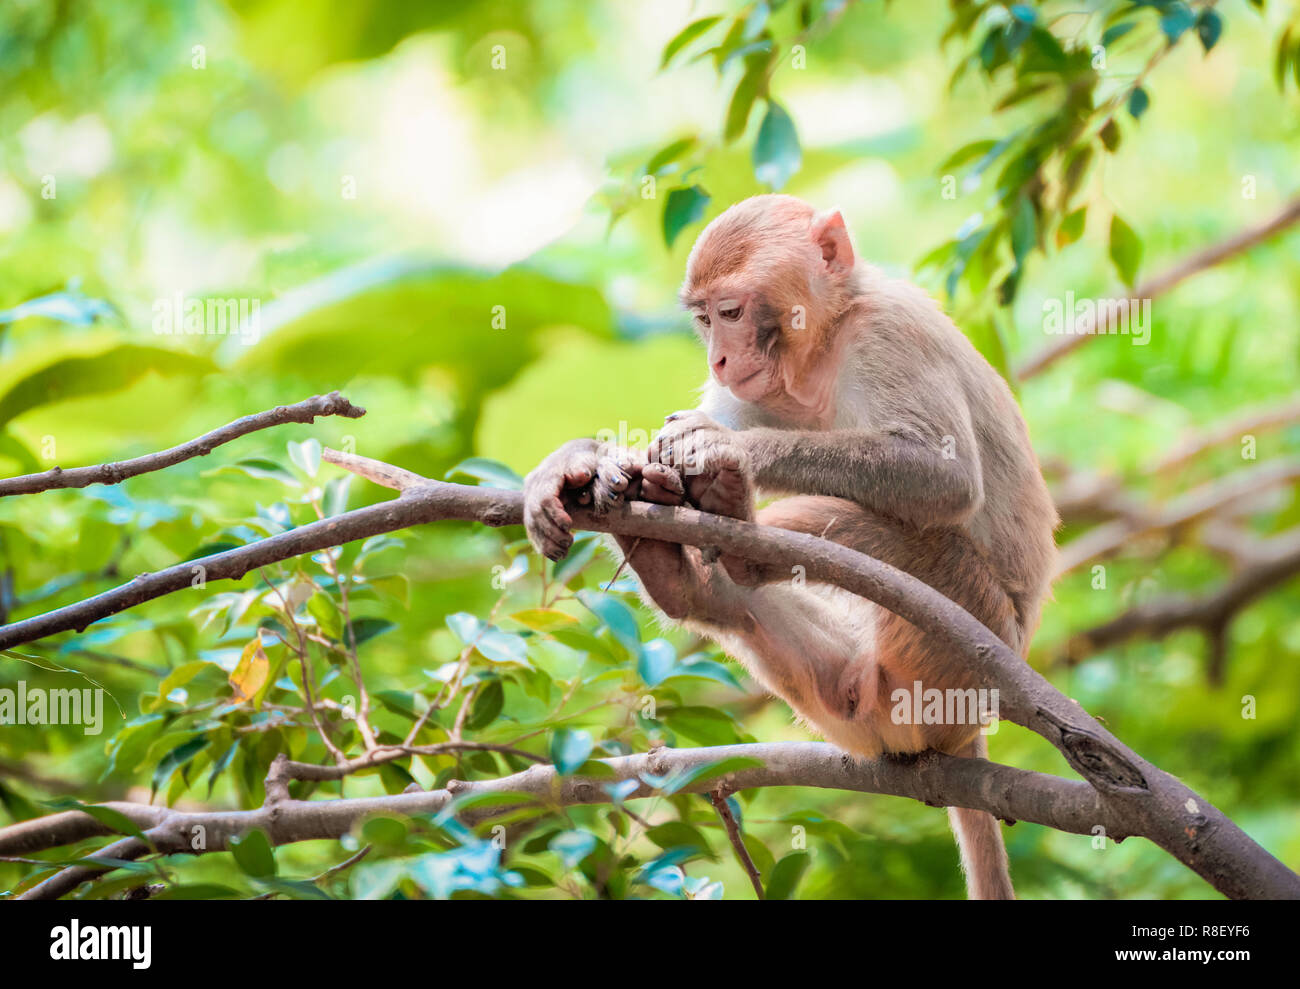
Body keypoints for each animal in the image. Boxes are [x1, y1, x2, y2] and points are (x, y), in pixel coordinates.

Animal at [523, 194, 1058, 900]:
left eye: (730, 313)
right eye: (703, 320)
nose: (719, 359)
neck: (823, 349)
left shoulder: (890, 333)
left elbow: (944, 478)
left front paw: (724, 451)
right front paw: (579, 462)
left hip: (962, 652)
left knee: (895, 533)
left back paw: (739, 531)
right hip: (855, 691)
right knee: (747, 615)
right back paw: (673, 571)